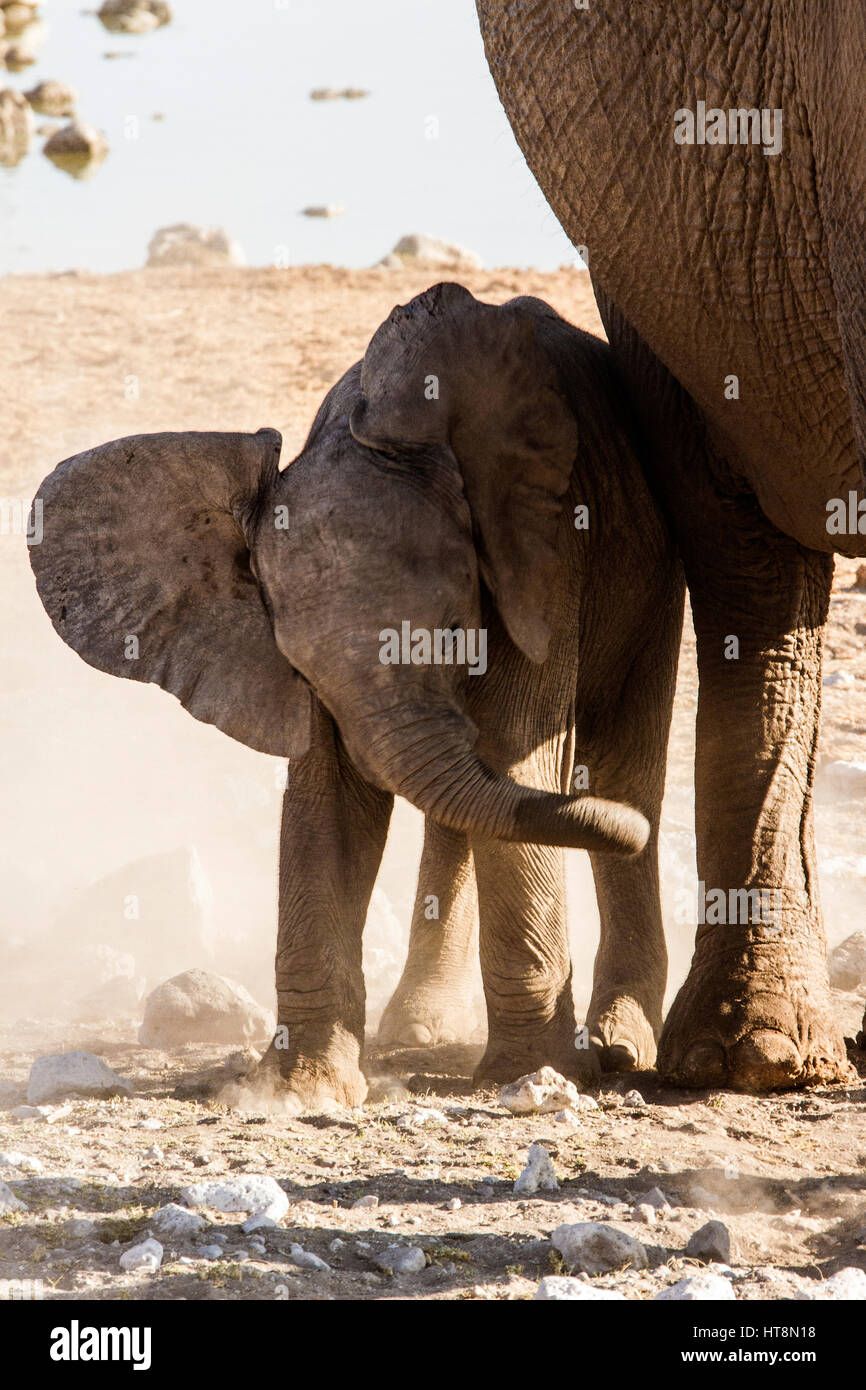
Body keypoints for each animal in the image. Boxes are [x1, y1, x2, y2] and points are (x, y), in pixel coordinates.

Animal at [30, 282, 683, 1111]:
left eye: (452, 629)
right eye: (299, 663)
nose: (616, 824)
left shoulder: (552, 559)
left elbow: (519, 760)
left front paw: (536, 1075)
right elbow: (327, 799)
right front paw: (301, 1090)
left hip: (653, 569)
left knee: (621, 757)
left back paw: (621, 1036)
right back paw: (422, 1029)